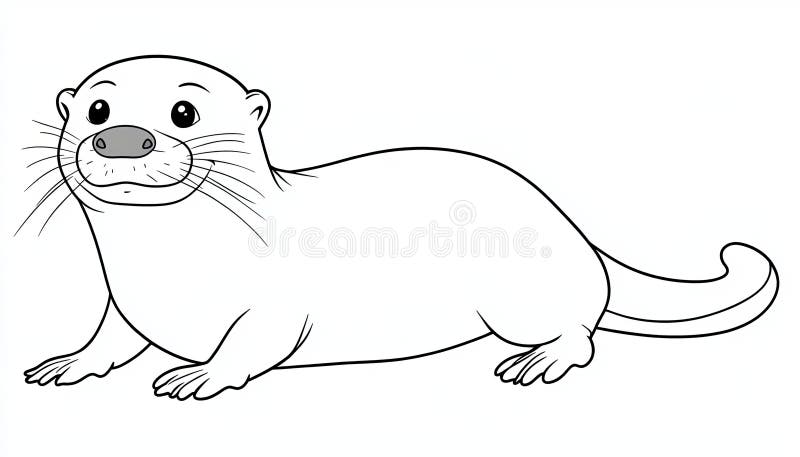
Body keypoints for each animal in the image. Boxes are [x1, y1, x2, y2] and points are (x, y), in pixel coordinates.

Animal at [22, 55, 779, 401]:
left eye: (184, 112)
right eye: (95, 108)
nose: (123, 138)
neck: (169, 271)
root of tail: (572, 229)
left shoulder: (275, 306)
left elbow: (251, 344)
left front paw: (201, 373)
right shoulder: (125, 306)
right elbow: (110, 340)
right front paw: (71, 361)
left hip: (526, 295)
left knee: (581, 331)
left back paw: (540, 360)